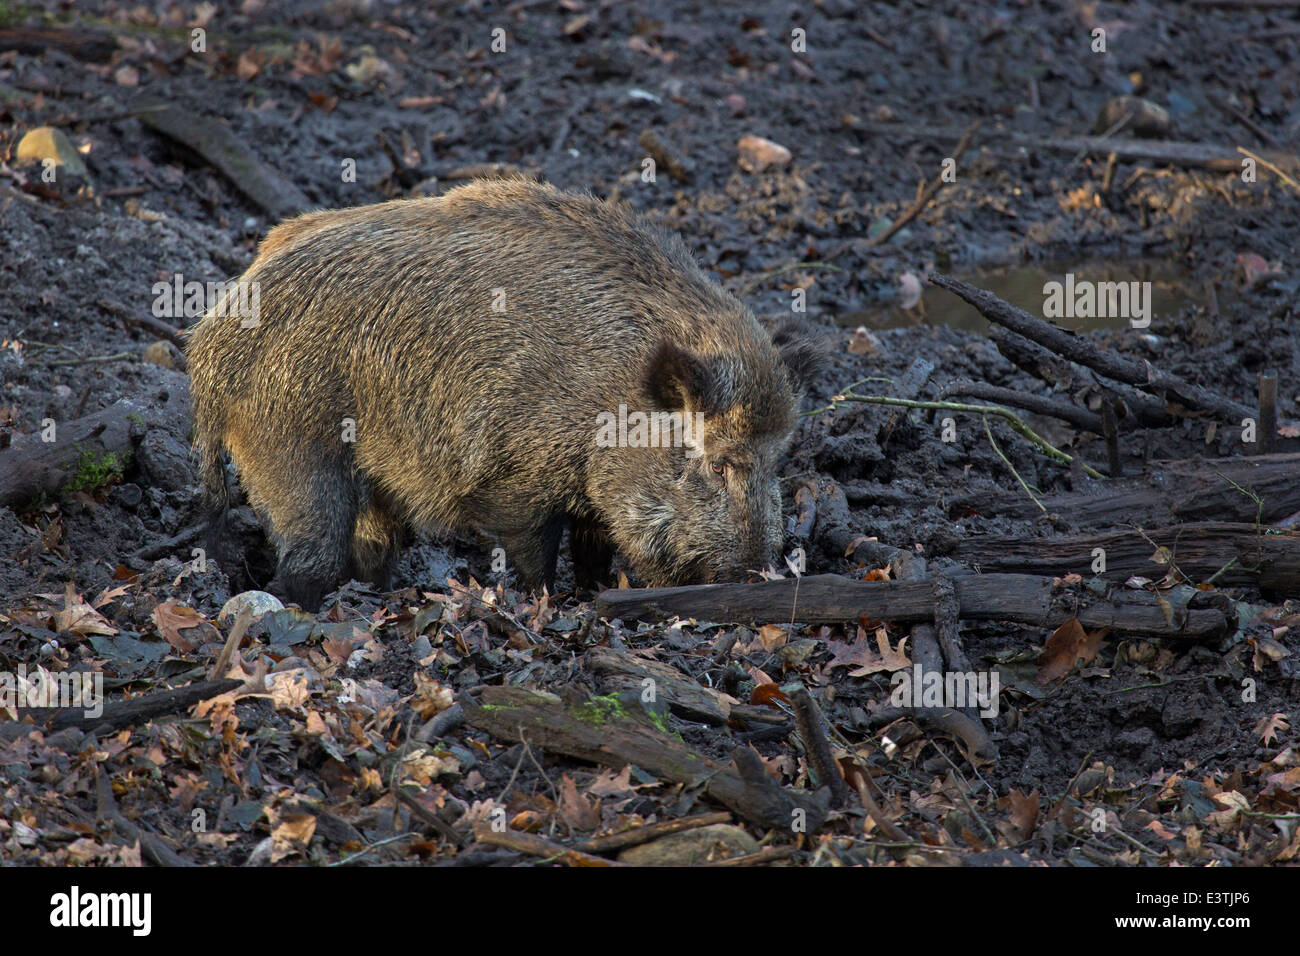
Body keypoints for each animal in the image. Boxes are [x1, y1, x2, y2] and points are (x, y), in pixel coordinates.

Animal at [188, 180, 818, 610]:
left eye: (777, 463)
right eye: (718, 464)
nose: (760, 576)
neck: (612, 398)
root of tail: (210, 346)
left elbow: (592, 550)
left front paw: (596, 593)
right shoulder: (514, 480)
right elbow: (534, 551)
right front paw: (548, 604)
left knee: (372, 548)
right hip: (292, 444)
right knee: (308, 558)